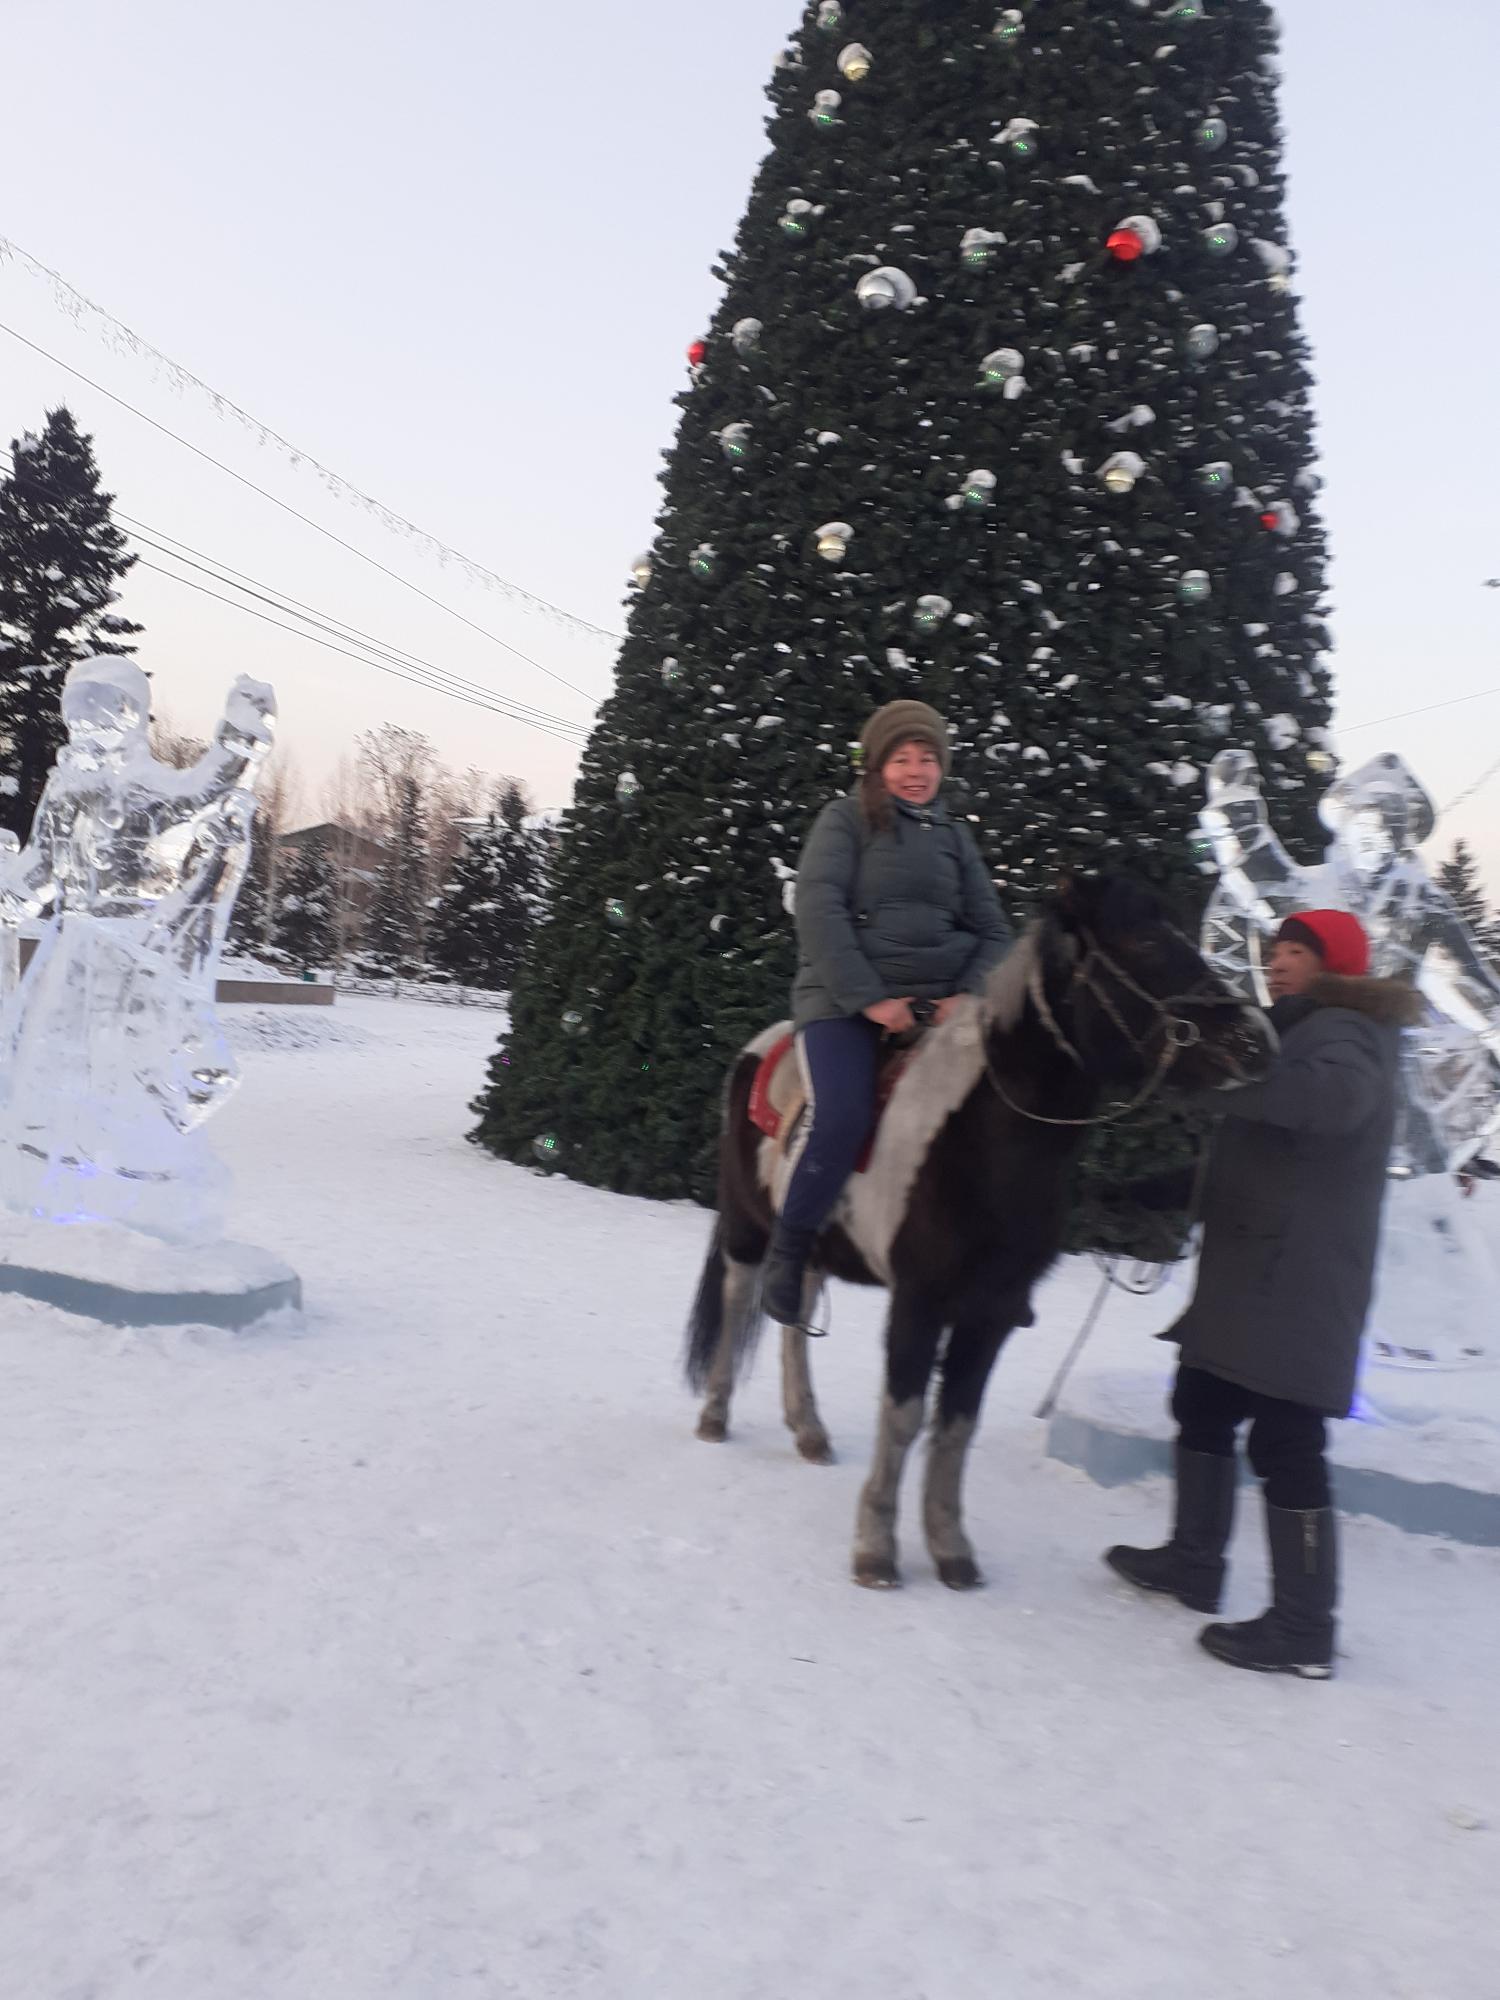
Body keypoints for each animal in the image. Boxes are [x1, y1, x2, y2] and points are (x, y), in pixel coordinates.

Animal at [688, 876, 1272, 1592]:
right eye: (1144, 944)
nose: (1257, 1041)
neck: (984, 1140)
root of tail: (758, 1048)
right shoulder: (918, 1302)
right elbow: (905, 1416)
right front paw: (876, 1548)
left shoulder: (989, 1312)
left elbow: (956, 1426)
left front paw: (951, 1549)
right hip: (747, 1229)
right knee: (738, 1299)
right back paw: (715, 1416)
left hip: (814, 1249)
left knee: (793, 1318)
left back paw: (809, 1430)